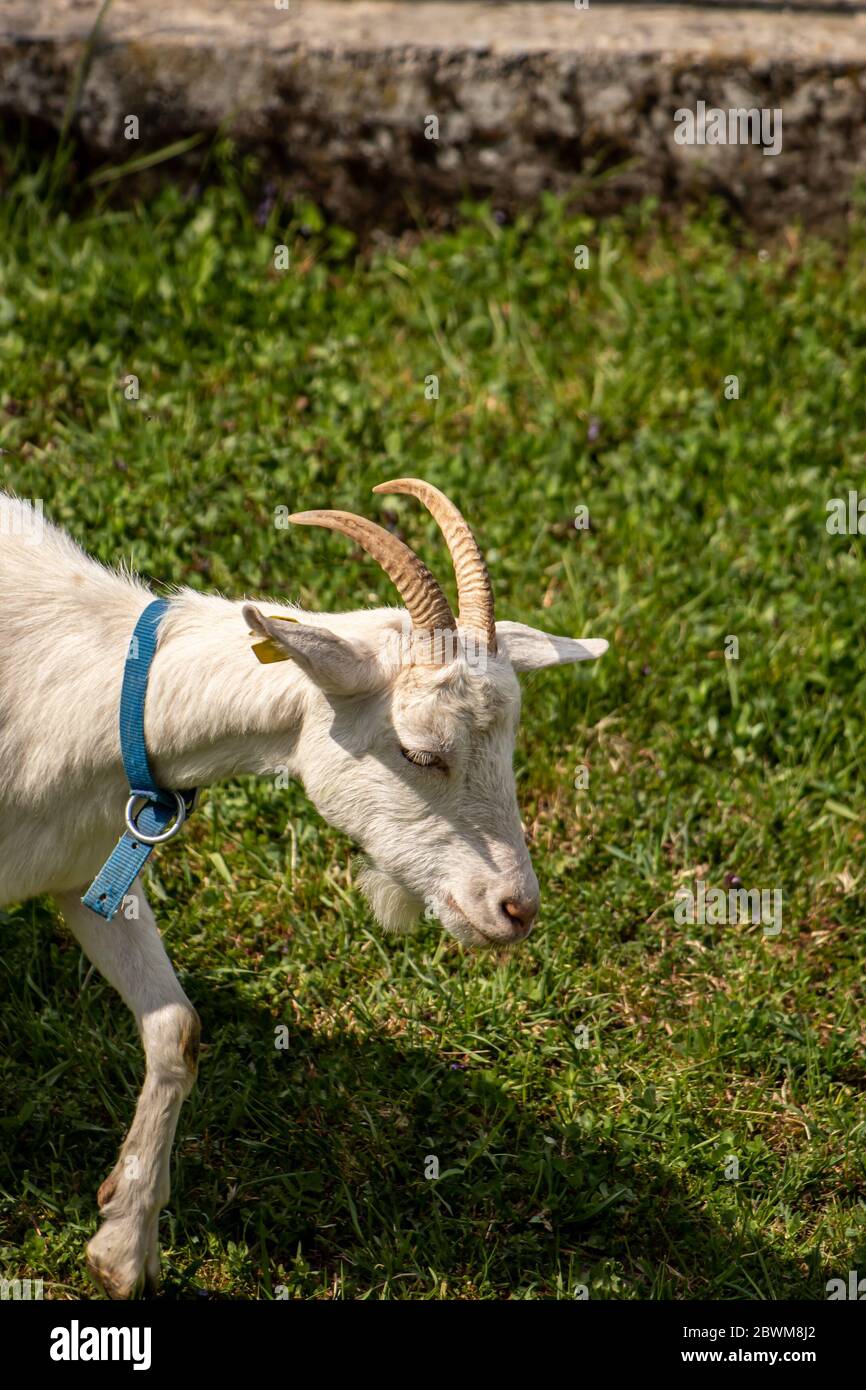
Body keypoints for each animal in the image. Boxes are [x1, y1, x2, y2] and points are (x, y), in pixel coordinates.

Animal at [0, 478, 608, 1298]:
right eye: (420, 752)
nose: (517, 909)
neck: (85, 692)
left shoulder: (89, 874)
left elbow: (177, 1029)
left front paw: (123, 1244)